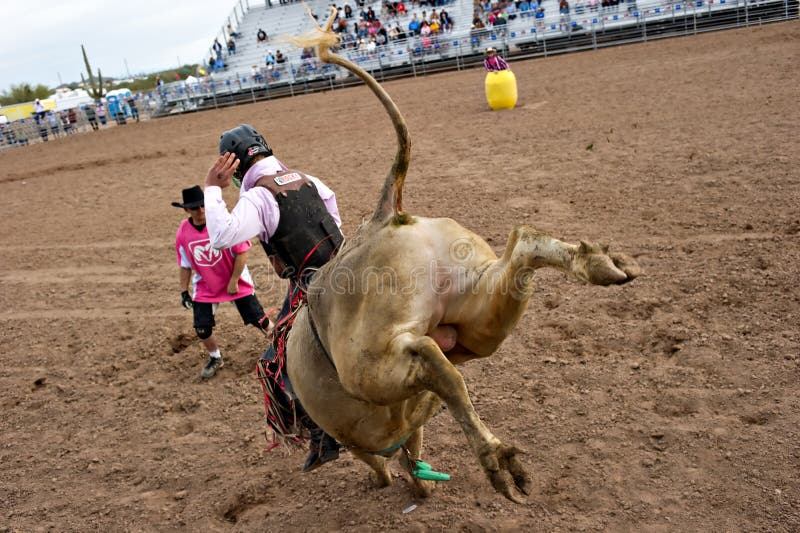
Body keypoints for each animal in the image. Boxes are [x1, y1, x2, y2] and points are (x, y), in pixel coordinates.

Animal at [282, 10, 640, 502]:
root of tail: (382, 218)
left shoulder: (367, 437)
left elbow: (387, 460)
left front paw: (396, 479)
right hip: (476, 311)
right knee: (522, 246)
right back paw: (603, 264)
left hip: (370, 364)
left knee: (436, 363)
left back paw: (497, 462)